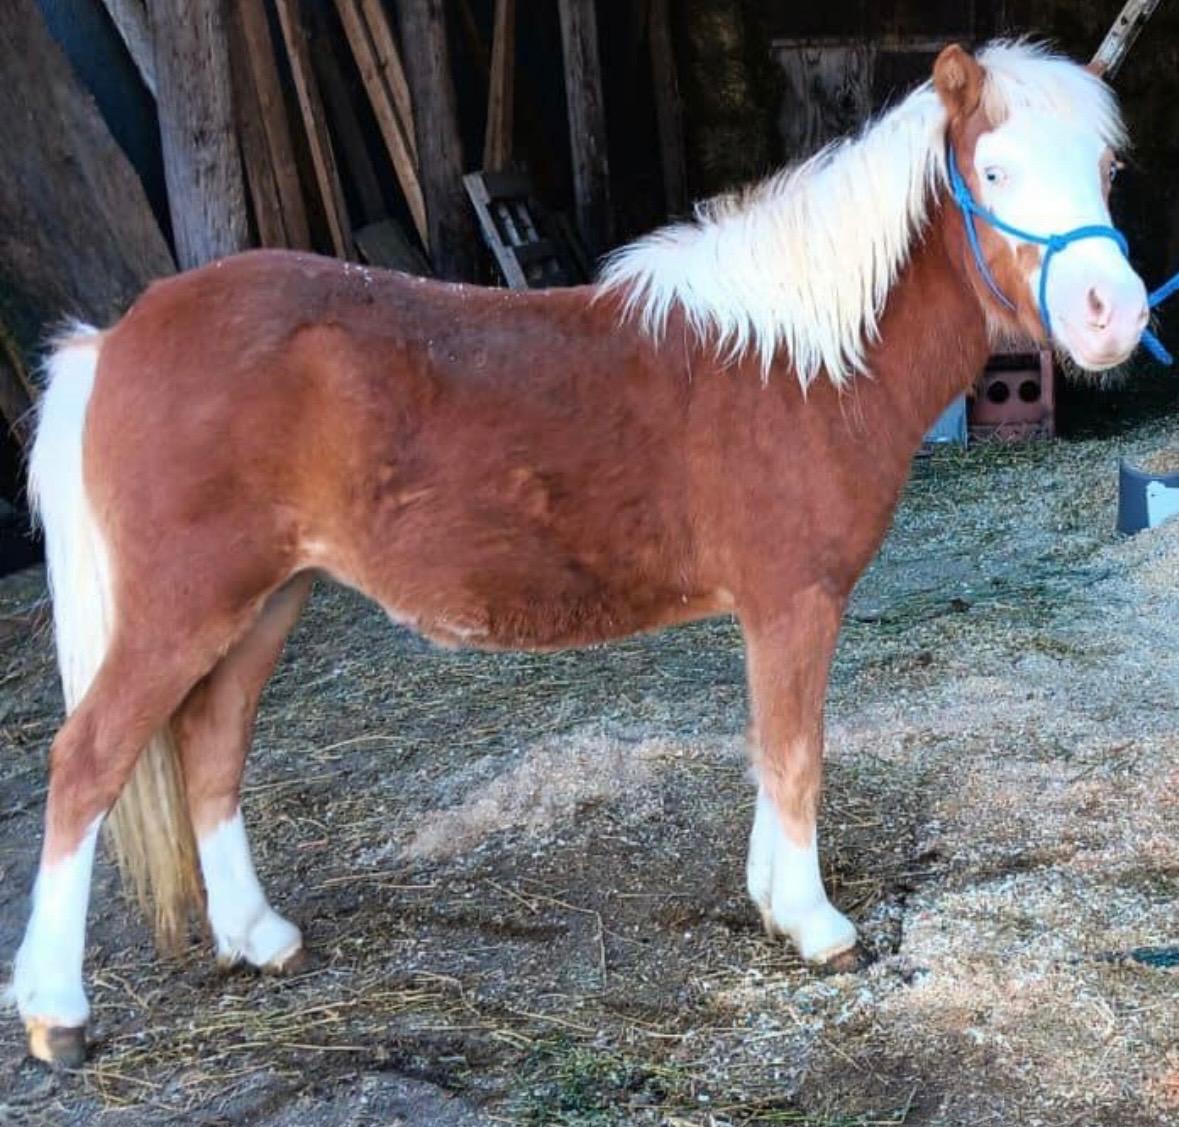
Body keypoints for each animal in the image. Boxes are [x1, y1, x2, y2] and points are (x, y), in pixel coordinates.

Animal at [9, 41, 1149, 1066]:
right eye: (994, 172)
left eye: (1104, 170)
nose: (1115, 315)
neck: (796, 361)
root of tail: (113, 340)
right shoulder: (795, 600)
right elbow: (797, 755)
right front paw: (815, 924)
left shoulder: (769, 613)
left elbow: (766, 748)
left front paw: (770, 902)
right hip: (186, 607)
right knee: (88, 761)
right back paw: (57, 1012)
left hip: (265, 599)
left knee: (211, 746)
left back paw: (258, 938)